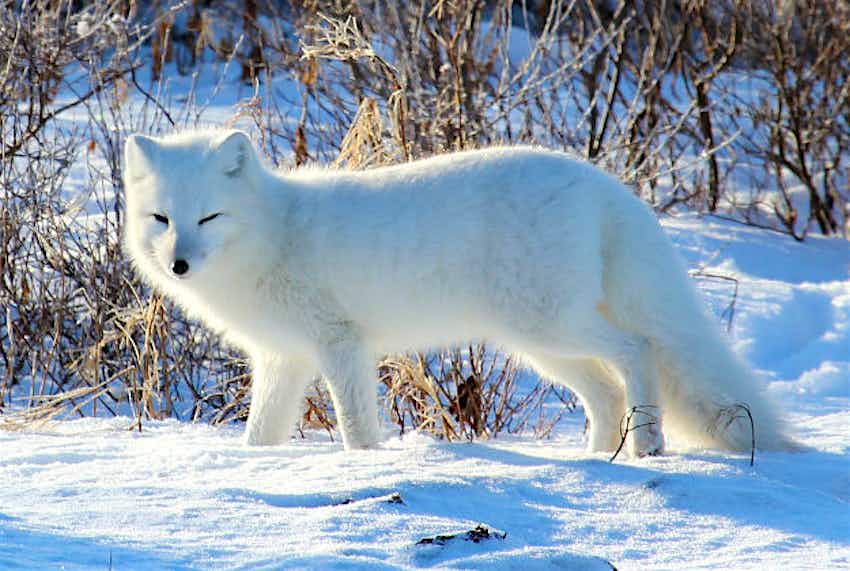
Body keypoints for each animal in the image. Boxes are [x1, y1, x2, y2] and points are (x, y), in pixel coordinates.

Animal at [122, 129, 795, 457]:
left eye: (209, 217)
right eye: (162, 219)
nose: (179, 264)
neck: (275, 233)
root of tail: (602, 184)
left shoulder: (340, 345)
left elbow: (355, 426)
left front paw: (363, 467)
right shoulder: (283, 358)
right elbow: (260, 434)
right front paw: (250, 467)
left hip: (551, 328)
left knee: (639, 351)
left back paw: (648, 445)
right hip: (540, 344)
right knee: (605, 390)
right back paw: (592, 462)